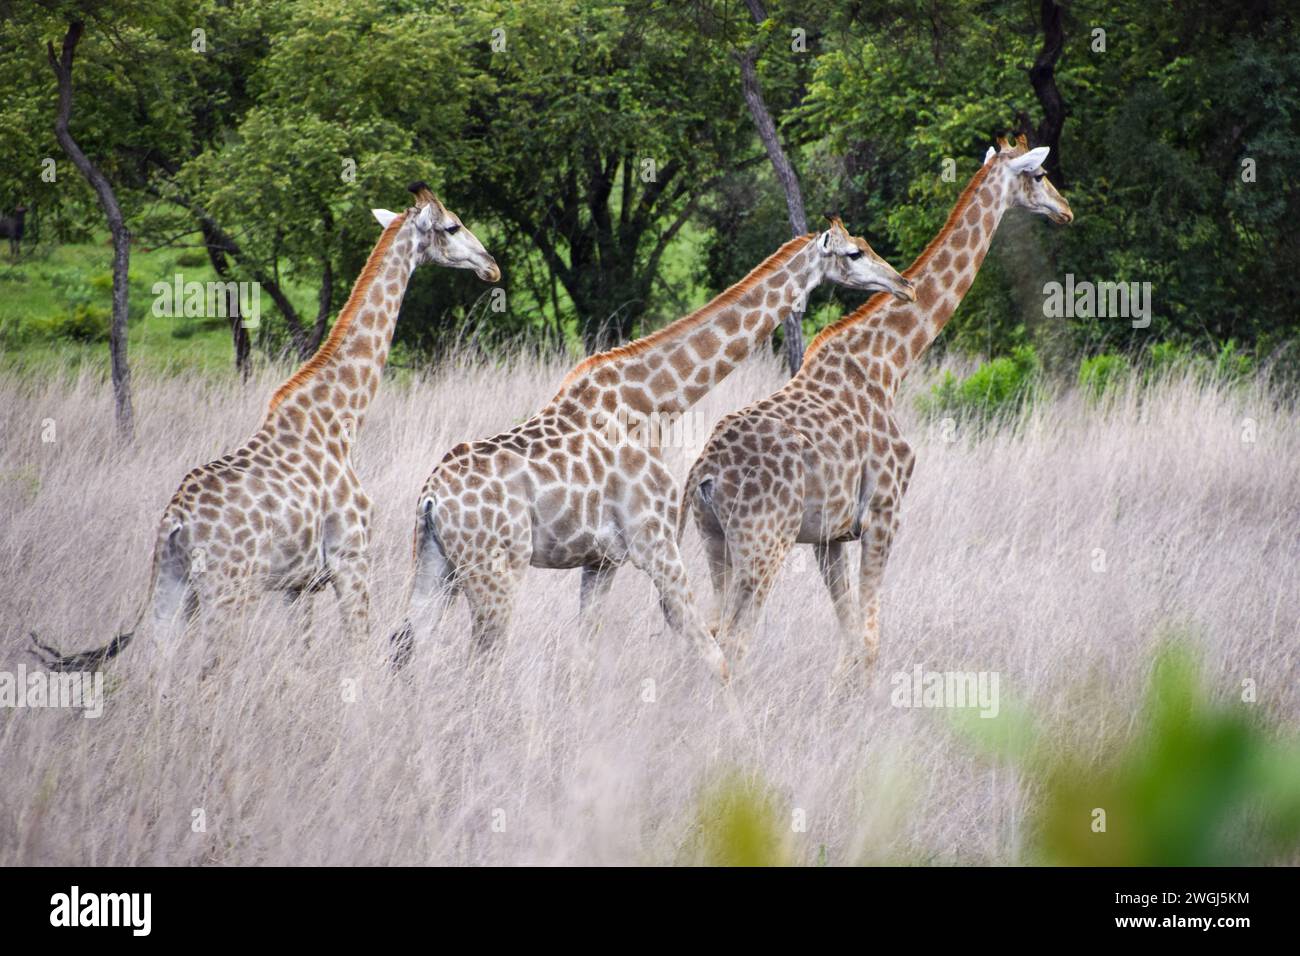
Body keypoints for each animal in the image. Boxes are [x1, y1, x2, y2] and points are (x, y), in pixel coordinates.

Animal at [31, 183, 499, 672]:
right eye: (453, 226)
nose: (491, 266)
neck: (341, 419)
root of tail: (176, 522)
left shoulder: (298, 584)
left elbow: (300, 661)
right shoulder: (351, 557)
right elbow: (358, 648)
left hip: (172, 586)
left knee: (159, 665)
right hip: (228, 589)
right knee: (211, 669)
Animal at [389, 219, 914, 678]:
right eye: (854, 253)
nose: (903, 284)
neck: (655, 403)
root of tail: (431, 498)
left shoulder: (602, 561)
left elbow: (584, 659)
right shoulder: (655, 541)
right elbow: (710, 649)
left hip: (436, 562)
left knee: (406, 643)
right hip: (496, 569)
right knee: (482, 662)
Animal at [681, 136, 1073, 680]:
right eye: (1039, 175)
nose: (1066, 210)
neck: (888, 363)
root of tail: (706, 472)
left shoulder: (830, 534)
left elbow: (849, 642)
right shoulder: (885, 510)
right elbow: (868, 644)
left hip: (713, 538)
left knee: (712, 635)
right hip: (764, 541)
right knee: (737, 642)